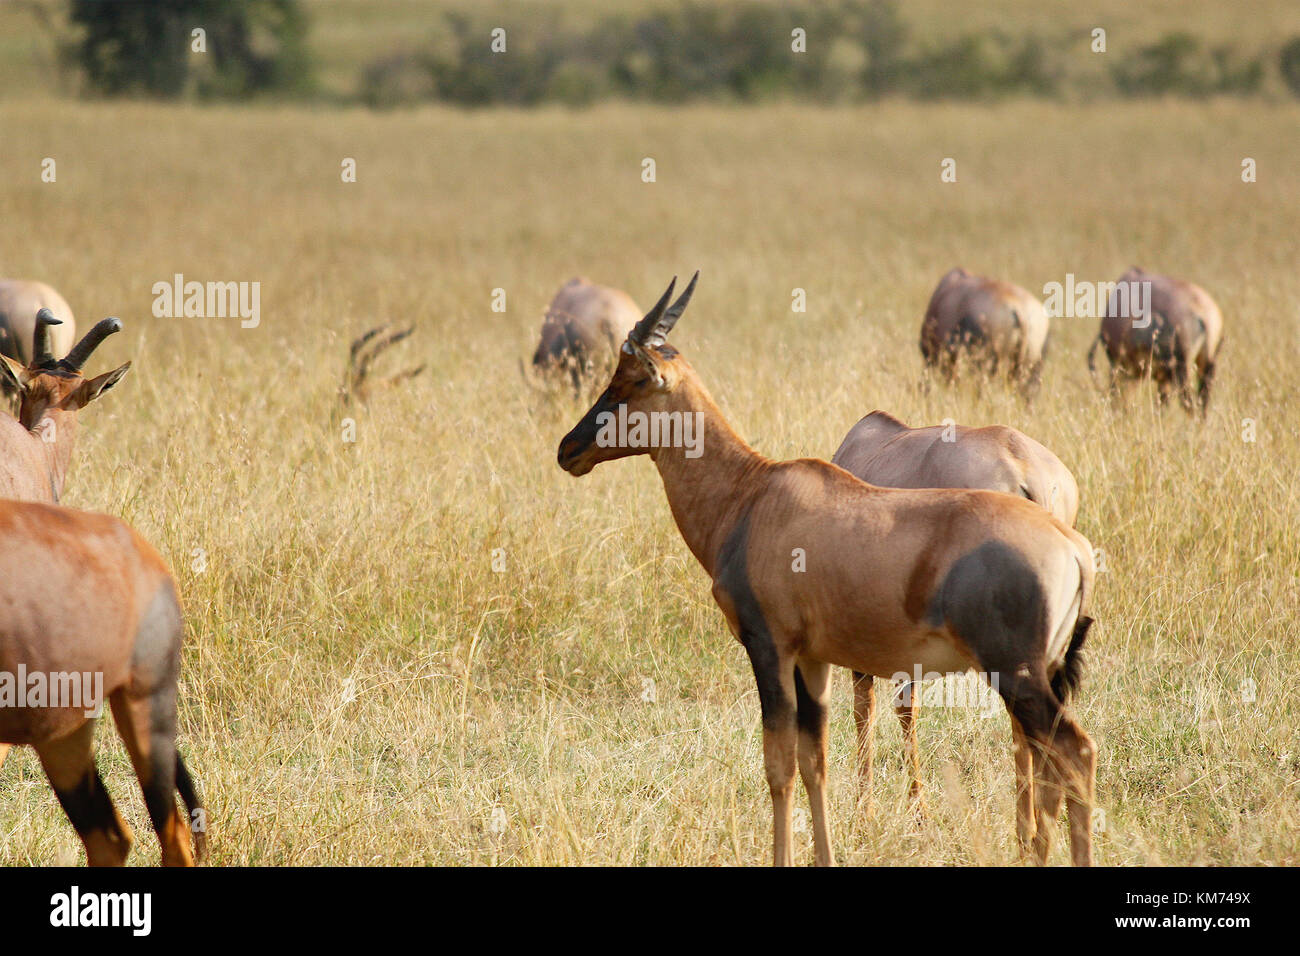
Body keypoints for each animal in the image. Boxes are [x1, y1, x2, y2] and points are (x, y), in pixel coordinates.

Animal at [1088, 267, 1224, 414]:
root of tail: (1204, 314)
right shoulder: (1163, 380)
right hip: (1208, 366)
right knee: (1203, 405)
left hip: (1182, 370)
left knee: (1189, 404)